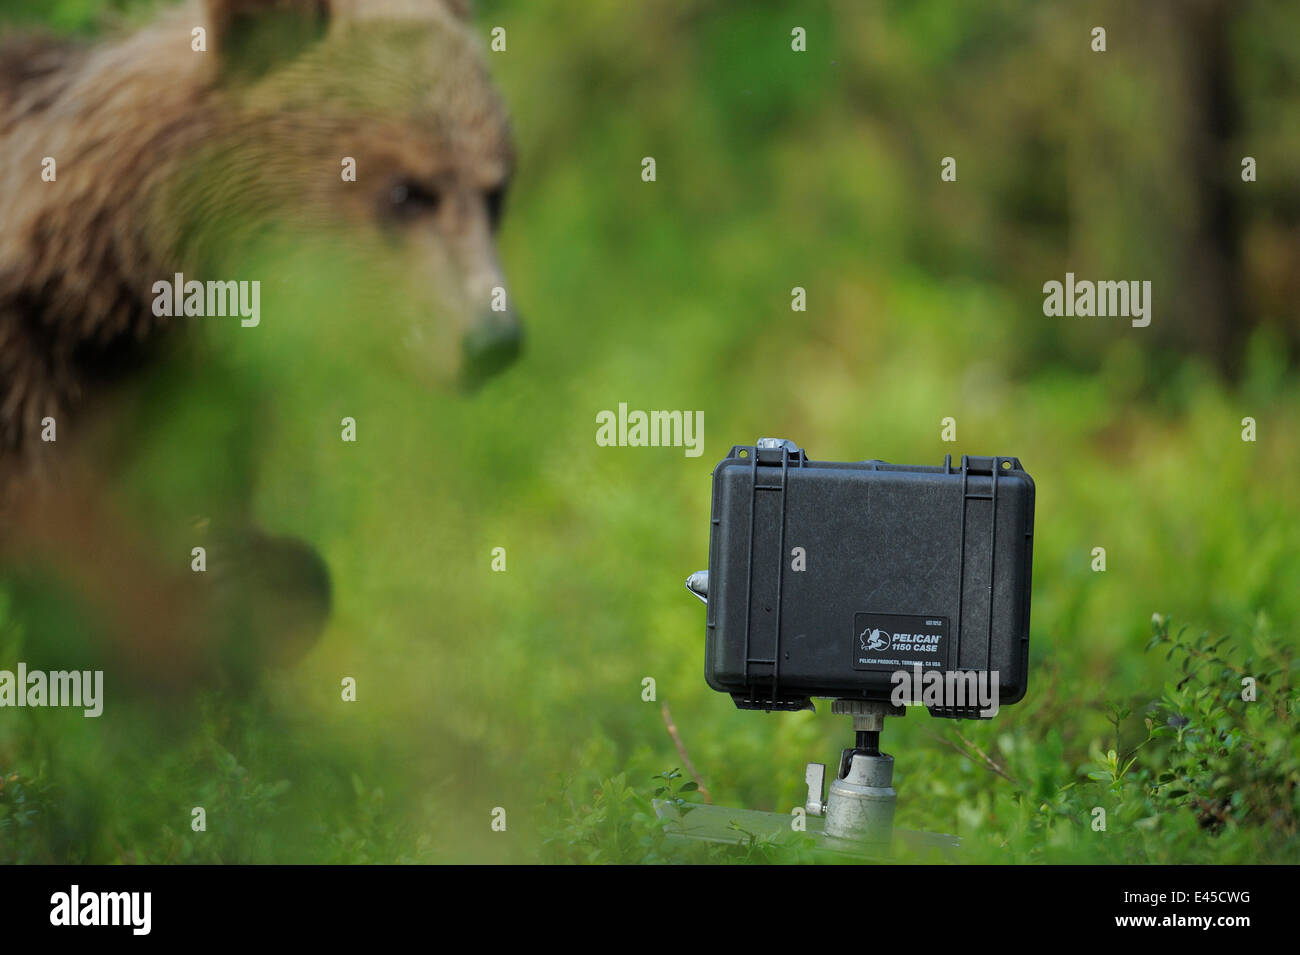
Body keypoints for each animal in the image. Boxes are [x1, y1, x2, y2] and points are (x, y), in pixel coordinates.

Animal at [0, 0, 521, 688]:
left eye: (495, 192)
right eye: (407, 192)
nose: (495, 338)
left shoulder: (196, 396)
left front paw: (242, 583)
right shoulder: (32, 378)